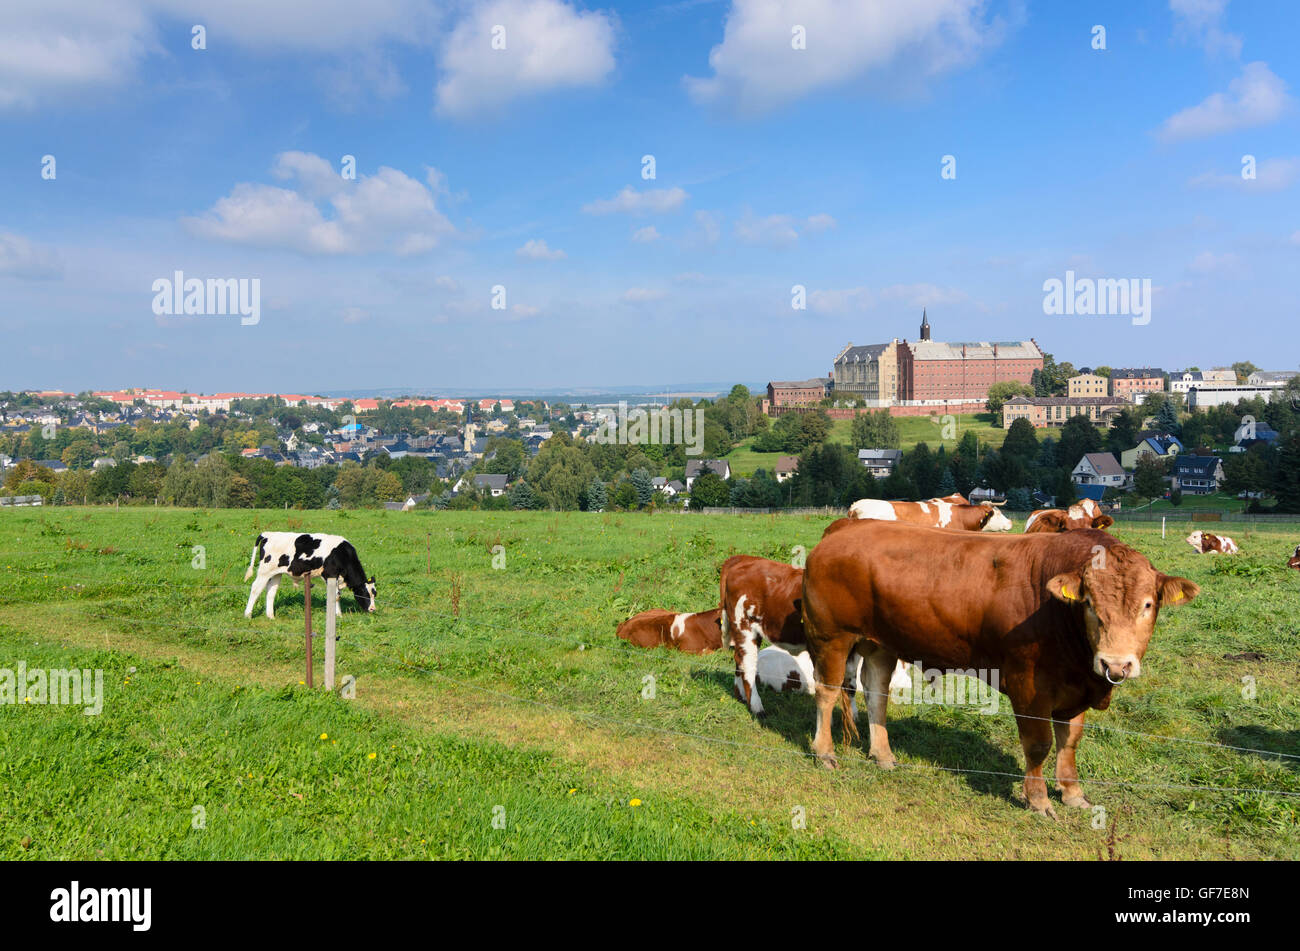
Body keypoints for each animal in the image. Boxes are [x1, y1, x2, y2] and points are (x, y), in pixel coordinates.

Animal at [244, 532, 376, 619]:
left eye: (374, 594)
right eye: (364, 594)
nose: (372, 609)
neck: (342, 554)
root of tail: (267, 534)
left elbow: (338, 595)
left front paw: (337, 614)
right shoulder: (330, 575)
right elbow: (335, 596)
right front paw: (337, 615)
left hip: (276, 573)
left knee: (271, 591)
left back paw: (270, 616)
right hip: (264, 571)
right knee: (255, 588)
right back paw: (248, 614)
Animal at [801, 521, 1198, 818]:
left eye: (1148, 604)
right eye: (1088, 603)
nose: (1115, 663)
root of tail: (846, 526)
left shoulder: (1077, 687)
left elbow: (1070, 741)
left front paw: (1072, 792)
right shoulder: (1028, 685)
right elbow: (1039, 744)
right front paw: (1038, 799)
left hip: (882, 643)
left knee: (876, 694)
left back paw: (883, 755)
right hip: (831, 637)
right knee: (826, 692)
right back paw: (825, 752)